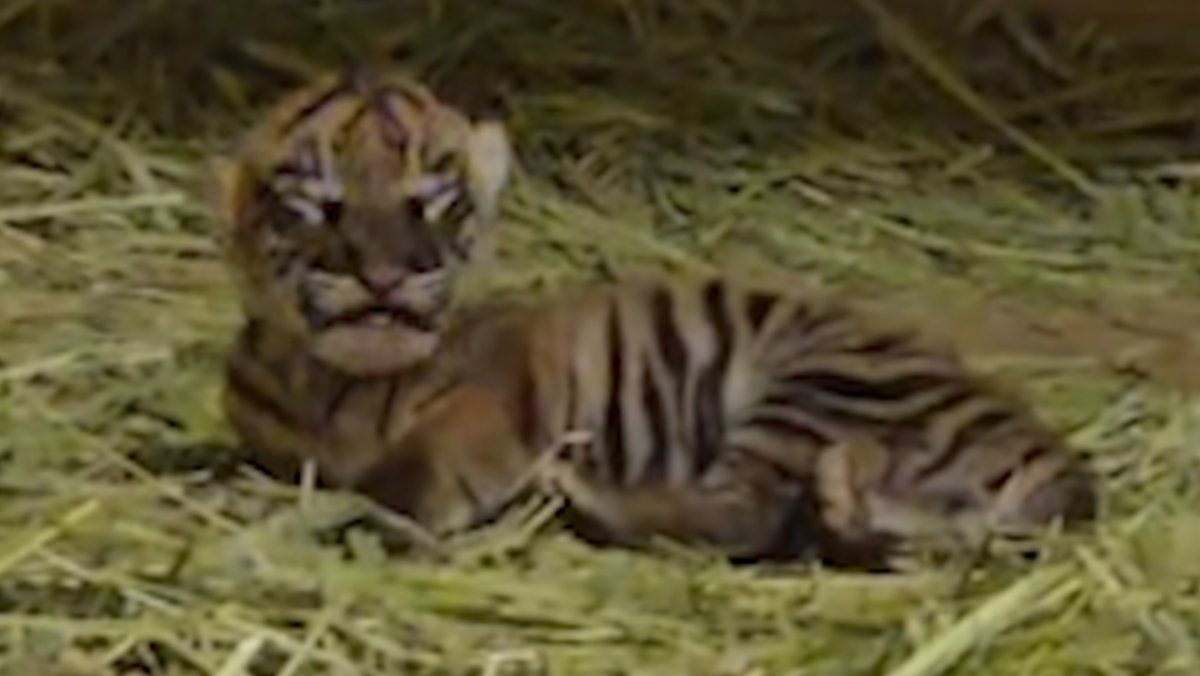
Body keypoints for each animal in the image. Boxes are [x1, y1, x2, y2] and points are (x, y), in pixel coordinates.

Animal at [210, 67, 1097, 566]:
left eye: (434, 203)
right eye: (319, 205)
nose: (388, 275)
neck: (331, 383)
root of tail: (1061, 457)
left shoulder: (493, 403)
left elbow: (412, 471)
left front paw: (350, 521)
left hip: (818, 384)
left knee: (744, 509)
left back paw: (586, 493)